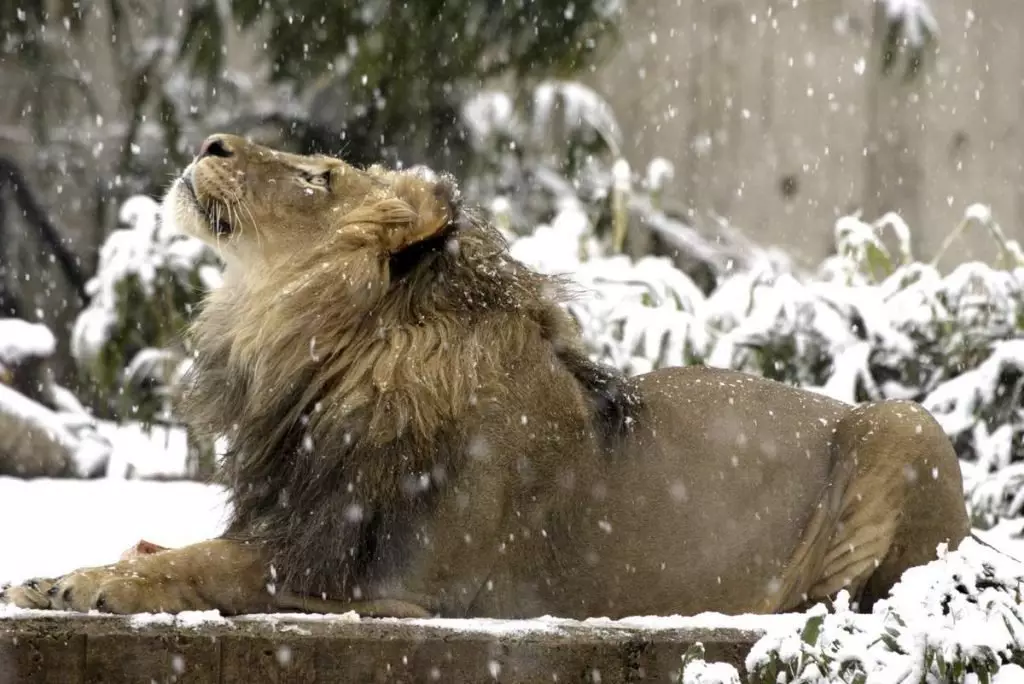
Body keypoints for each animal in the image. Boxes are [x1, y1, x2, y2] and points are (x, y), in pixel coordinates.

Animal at [2, 133, 966, 618]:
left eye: (321, 175)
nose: (211, 141)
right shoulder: (299, 522)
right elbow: (165, 547)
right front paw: (56, 574)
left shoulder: (386, 585)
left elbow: (197, 566)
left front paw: (85, 585)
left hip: (904, 423)